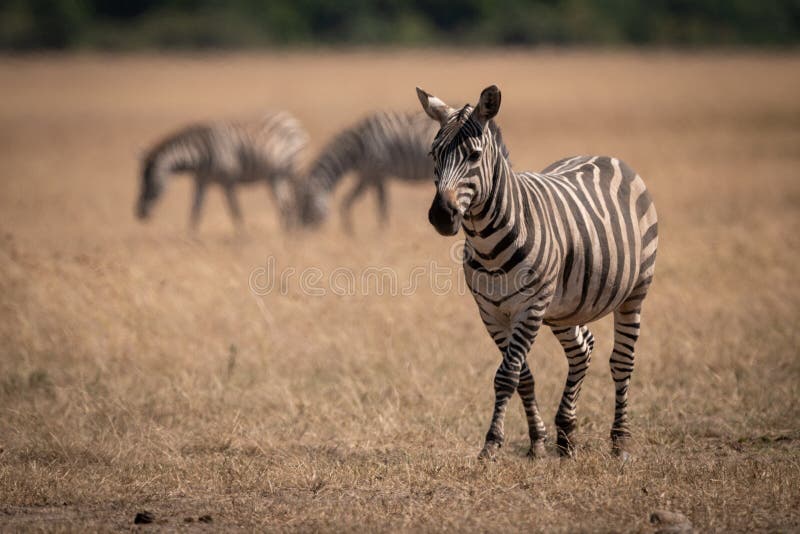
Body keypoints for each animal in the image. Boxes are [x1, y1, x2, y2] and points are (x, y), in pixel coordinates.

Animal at [136, 112, 308, 231]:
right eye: (139, 181)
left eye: (151, 182)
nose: (138, 213)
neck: (202, 153)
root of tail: (287, 116)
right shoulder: (201, 181)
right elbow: (195, 210)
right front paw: (189, 239)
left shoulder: (228, 181)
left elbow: (235, 211)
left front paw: (243, 238)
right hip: (275, 175)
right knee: (284, 204)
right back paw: (285, 234)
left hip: (293, 170)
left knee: (295, 198)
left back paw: (294, 233)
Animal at [297, 111, 436, 231]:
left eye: (306, 207)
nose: (303, 235)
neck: (357, 149)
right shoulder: (367, 175)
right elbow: (349, 202)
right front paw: (351, 233)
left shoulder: (375, 173)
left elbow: (381, 205)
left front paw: (381, 234)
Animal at [416, 85, 658, 460]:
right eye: (433, 153)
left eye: (474, 156)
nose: (442, 216)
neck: (487, 244)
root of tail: (606, 157)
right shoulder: (491, 312)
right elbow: (522, 376)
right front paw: (537, 441)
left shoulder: (530, 308)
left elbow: (507, 376)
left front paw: (491, 444)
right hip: (564, 307)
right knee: (582, 349)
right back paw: (567, 434)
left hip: (634, 291)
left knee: (622, 362)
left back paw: (619, 441)